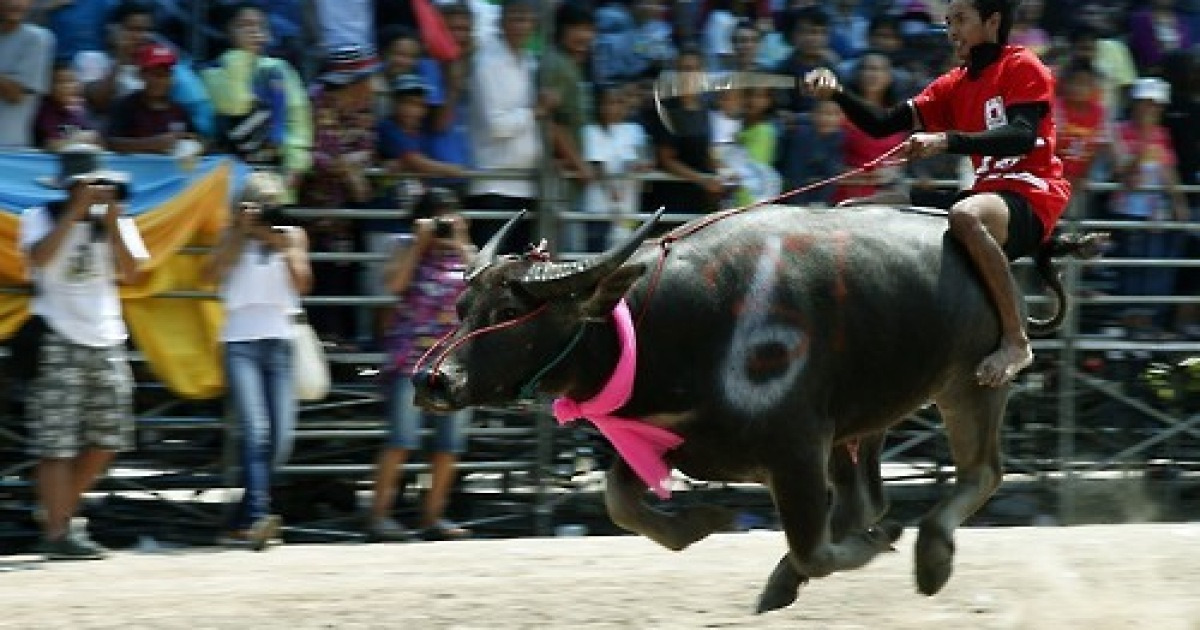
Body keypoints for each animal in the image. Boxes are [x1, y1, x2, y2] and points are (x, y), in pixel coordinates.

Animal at [413, 204, 1098, 612]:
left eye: (510, 310)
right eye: (461, 308)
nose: (431, 380)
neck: (670, 325)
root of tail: (994, 252)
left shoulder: (796, 449)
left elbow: (814, 547)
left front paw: (866, 549)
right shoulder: (666, 438)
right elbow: (620, 501)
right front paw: (704, 519)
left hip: (972, 384)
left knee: (980, 473)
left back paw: (928, 555)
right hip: (866, 418)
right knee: (866, 497)